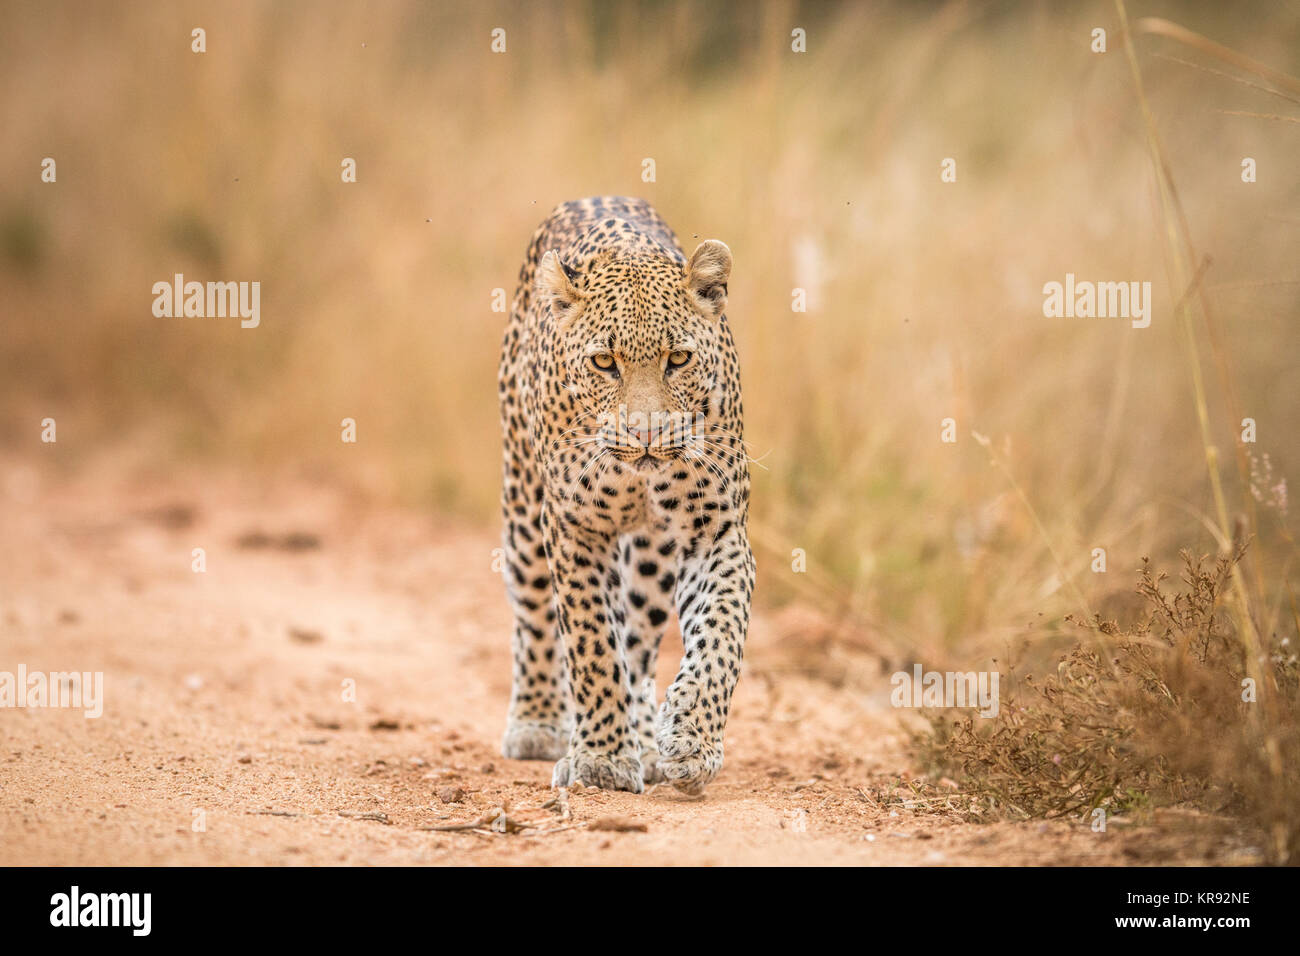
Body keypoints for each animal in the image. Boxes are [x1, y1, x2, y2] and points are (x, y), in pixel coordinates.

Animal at [497, 196, 755, 795]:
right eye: (604, 363)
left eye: (678, 359)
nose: (646, 434)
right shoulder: (575, 527)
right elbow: (591, 642)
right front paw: (601, 757)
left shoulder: (716, 528)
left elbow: (721, 632)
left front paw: (690, 739)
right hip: (522, 512)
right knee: (536, 617)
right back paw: (539, 724)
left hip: (652, 563)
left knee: (636, 645)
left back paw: (646, 740)